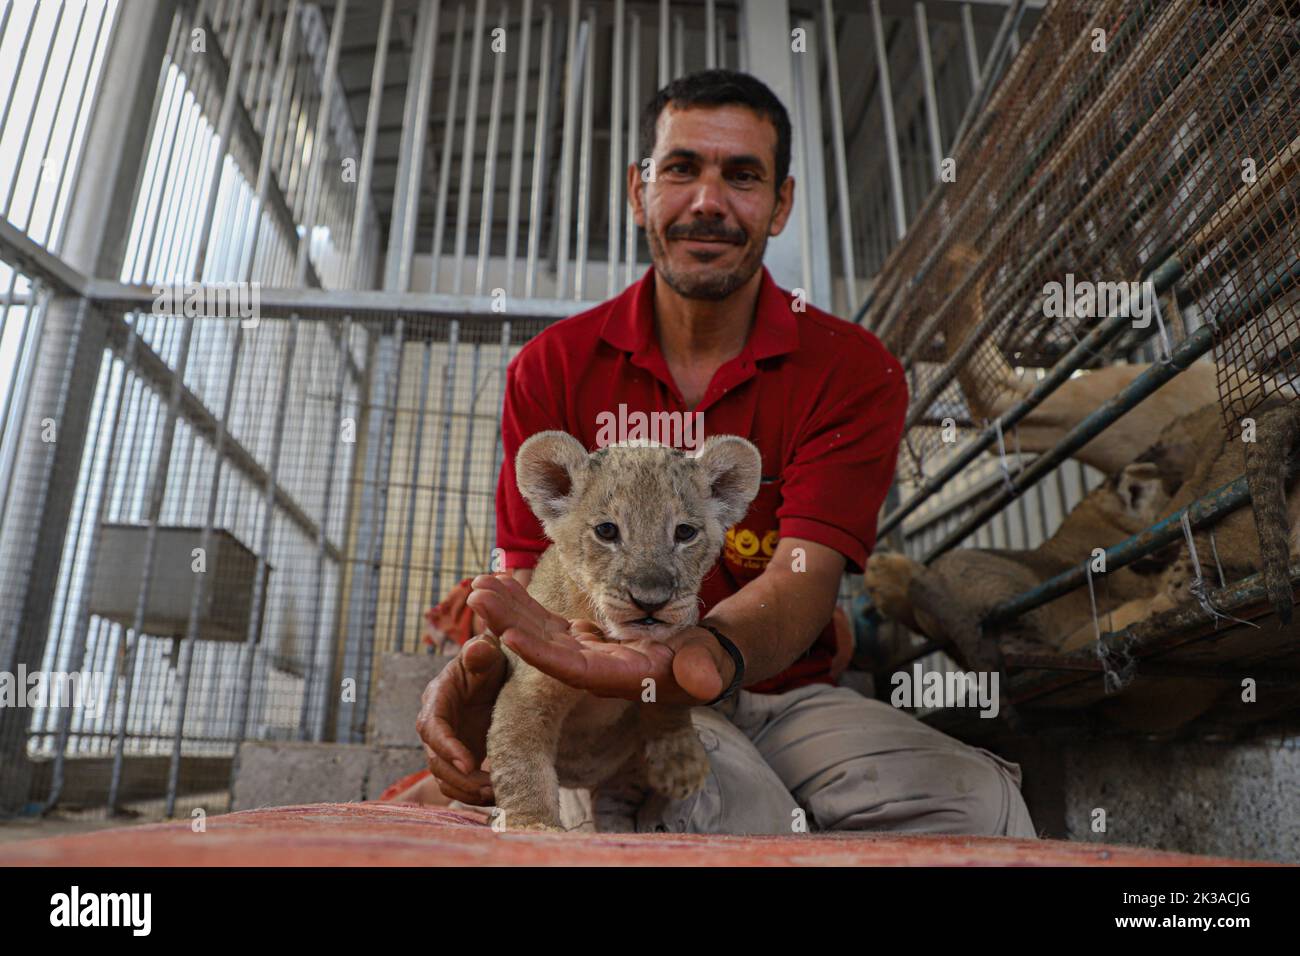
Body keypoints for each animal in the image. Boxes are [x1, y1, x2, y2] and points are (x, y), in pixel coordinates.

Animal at [484, 431, 761, 832]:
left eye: (685, 532)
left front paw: (680, 761)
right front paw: (532, 825)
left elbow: (670, 702)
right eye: (606, 531)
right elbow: (521, 761)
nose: (650, 601)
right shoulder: (527, 687)